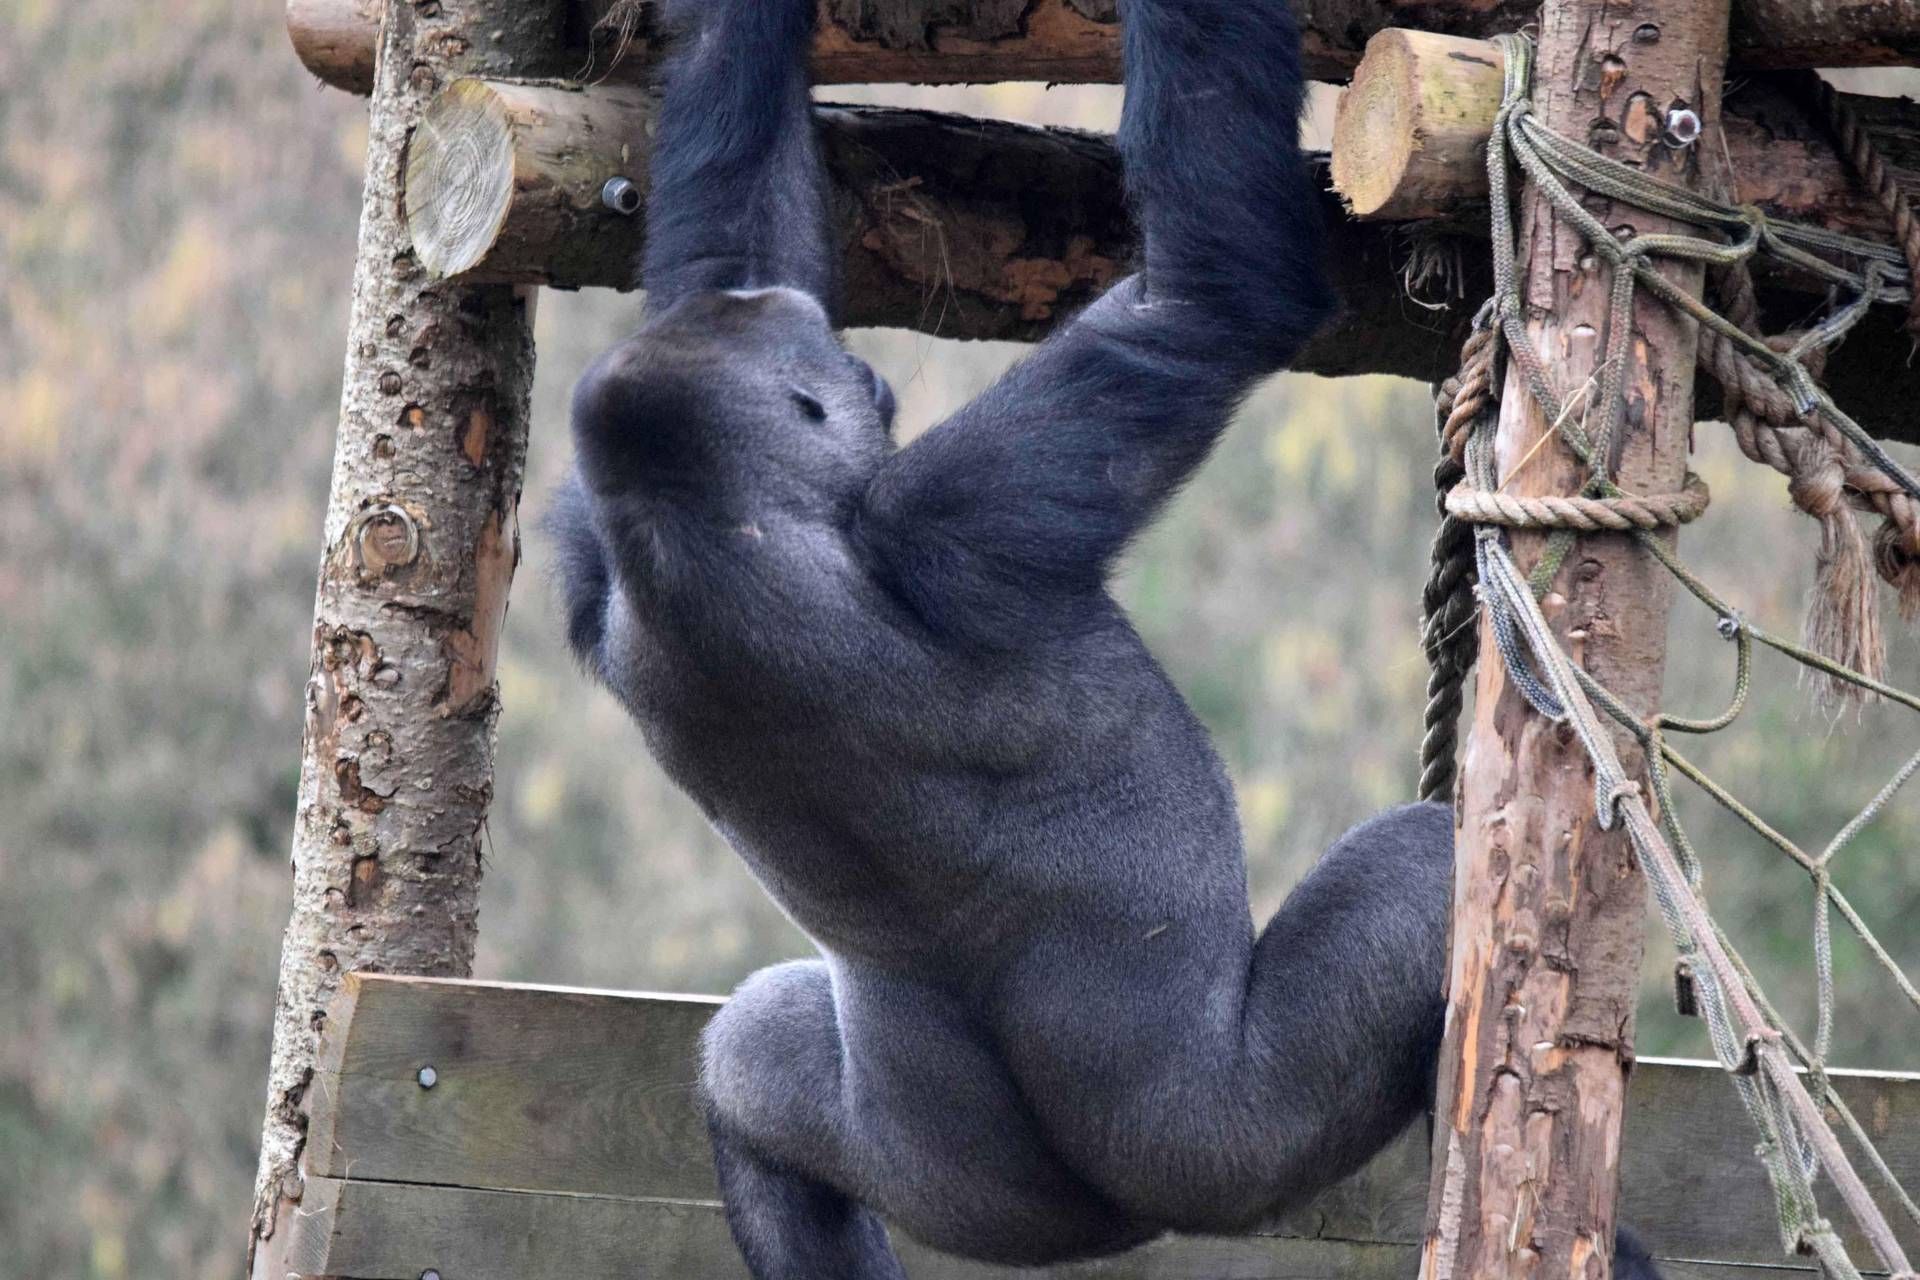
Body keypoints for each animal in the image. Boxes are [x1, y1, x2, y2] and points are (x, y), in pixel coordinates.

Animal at [547, 0, 1665, 1275]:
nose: (866, 378)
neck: (720, 527)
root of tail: (1111, 1219)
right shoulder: (958, 515)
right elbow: (1212, 295)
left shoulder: (596, 558)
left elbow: (721, 250)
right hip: (1221, 1145)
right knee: (1424, 868)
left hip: (949, 1182)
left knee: (748, 1068)